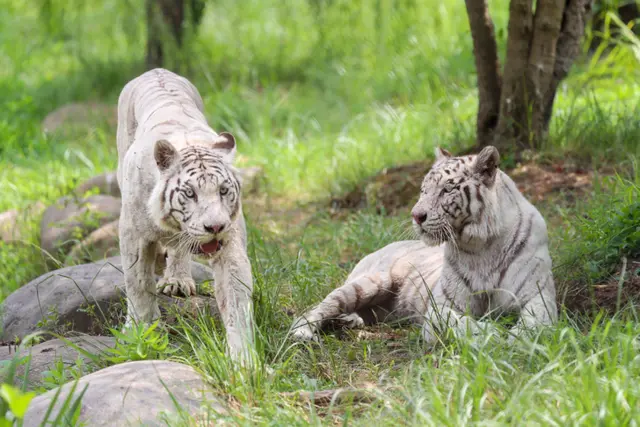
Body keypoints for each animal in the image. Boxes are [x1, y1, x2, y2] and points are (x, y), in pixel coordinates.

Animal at [116, 68, 254, 361]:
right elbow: (138, 284)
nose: (215, 227)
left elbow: (235, 299)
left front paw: (244, 361)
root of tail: (156, 70)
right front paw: (140, 335)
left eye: (223, 190)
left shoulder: (230, 241)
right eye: (190, 193)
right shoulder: (132, 233)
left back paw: (177, 280)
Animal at [291, 146, 557, 344]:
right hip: (369, 283)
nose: (416, 215)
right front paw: (494, 336)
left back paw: (349, 321)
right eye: (423, 190)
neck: (481, 245)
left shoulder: (538, 297)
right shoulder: (442, 307)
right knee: (317, 307)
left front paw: (519, 340)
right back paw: (303, 333)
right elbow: (466, 326)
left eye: (447, 189)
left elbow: (534, 325)